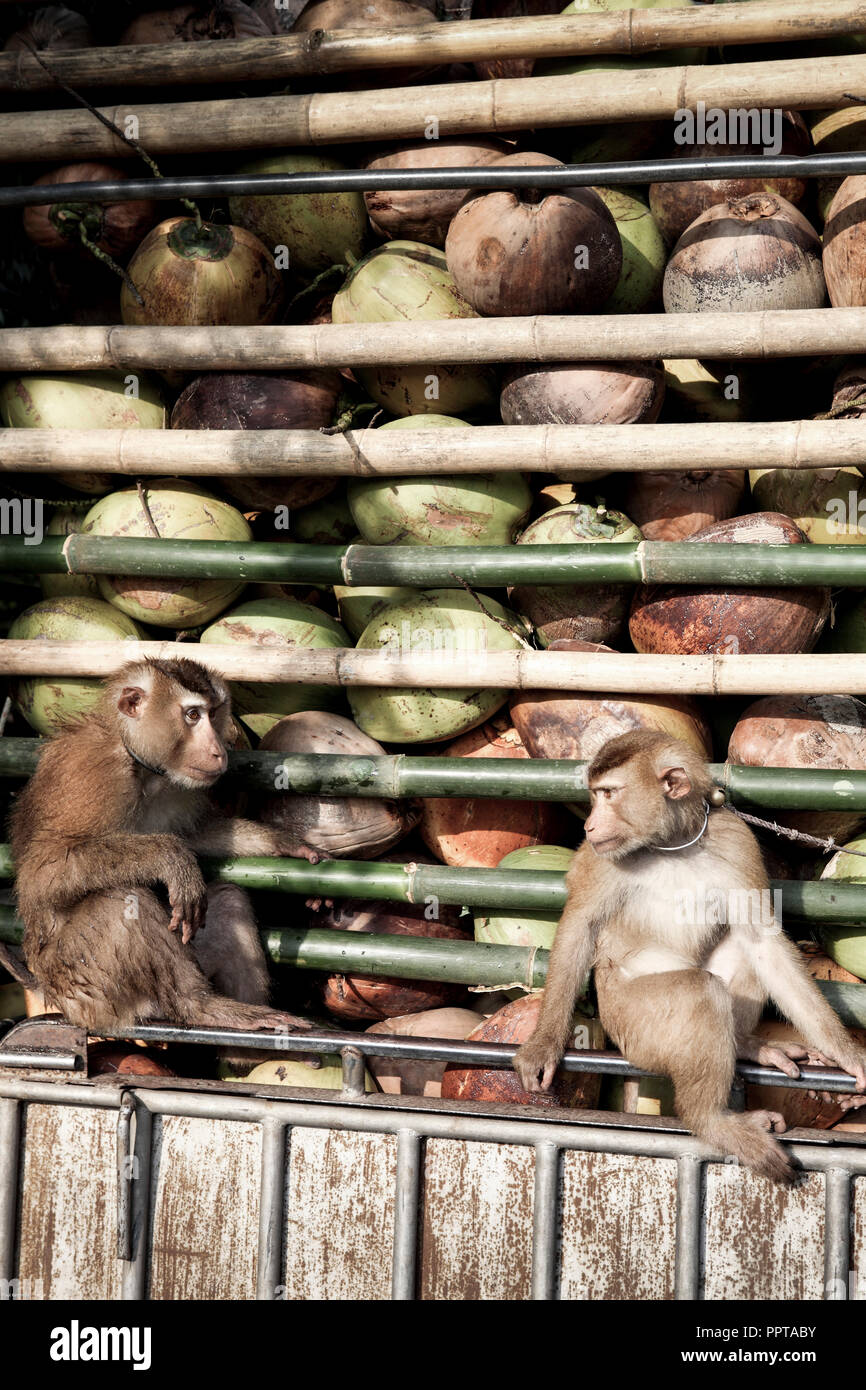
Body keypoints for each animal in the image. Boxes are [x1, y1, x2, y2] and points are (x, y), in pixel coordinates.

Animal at [8, 657, 321, 1043]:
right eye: (192, 715)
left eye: (214, 713)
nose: (219, 751)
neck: (141, 766)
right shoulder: (94, 776)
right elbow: (44, 868)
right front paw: (170, 858)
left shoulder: (179, 787)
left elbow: (194, 835)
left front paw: (286, 845)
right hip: (87, 992)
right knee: (123, 901)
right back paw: (201, 1006)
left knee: (228, 900)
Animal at [514, 729, 866, 1185]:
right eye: (596, 796)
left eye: (608, 794)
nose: (590, 824)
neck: (669, 844)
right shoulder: (600, 857)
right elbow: (580, 926)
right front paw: (544, 1044)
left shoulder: (736, 840)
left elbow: (762, 942)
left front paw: (848, 1054)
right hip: (632, 1029)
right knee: (699, 990)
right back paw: (713, 1121)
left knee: (740, 943)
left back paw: (745, 1046)